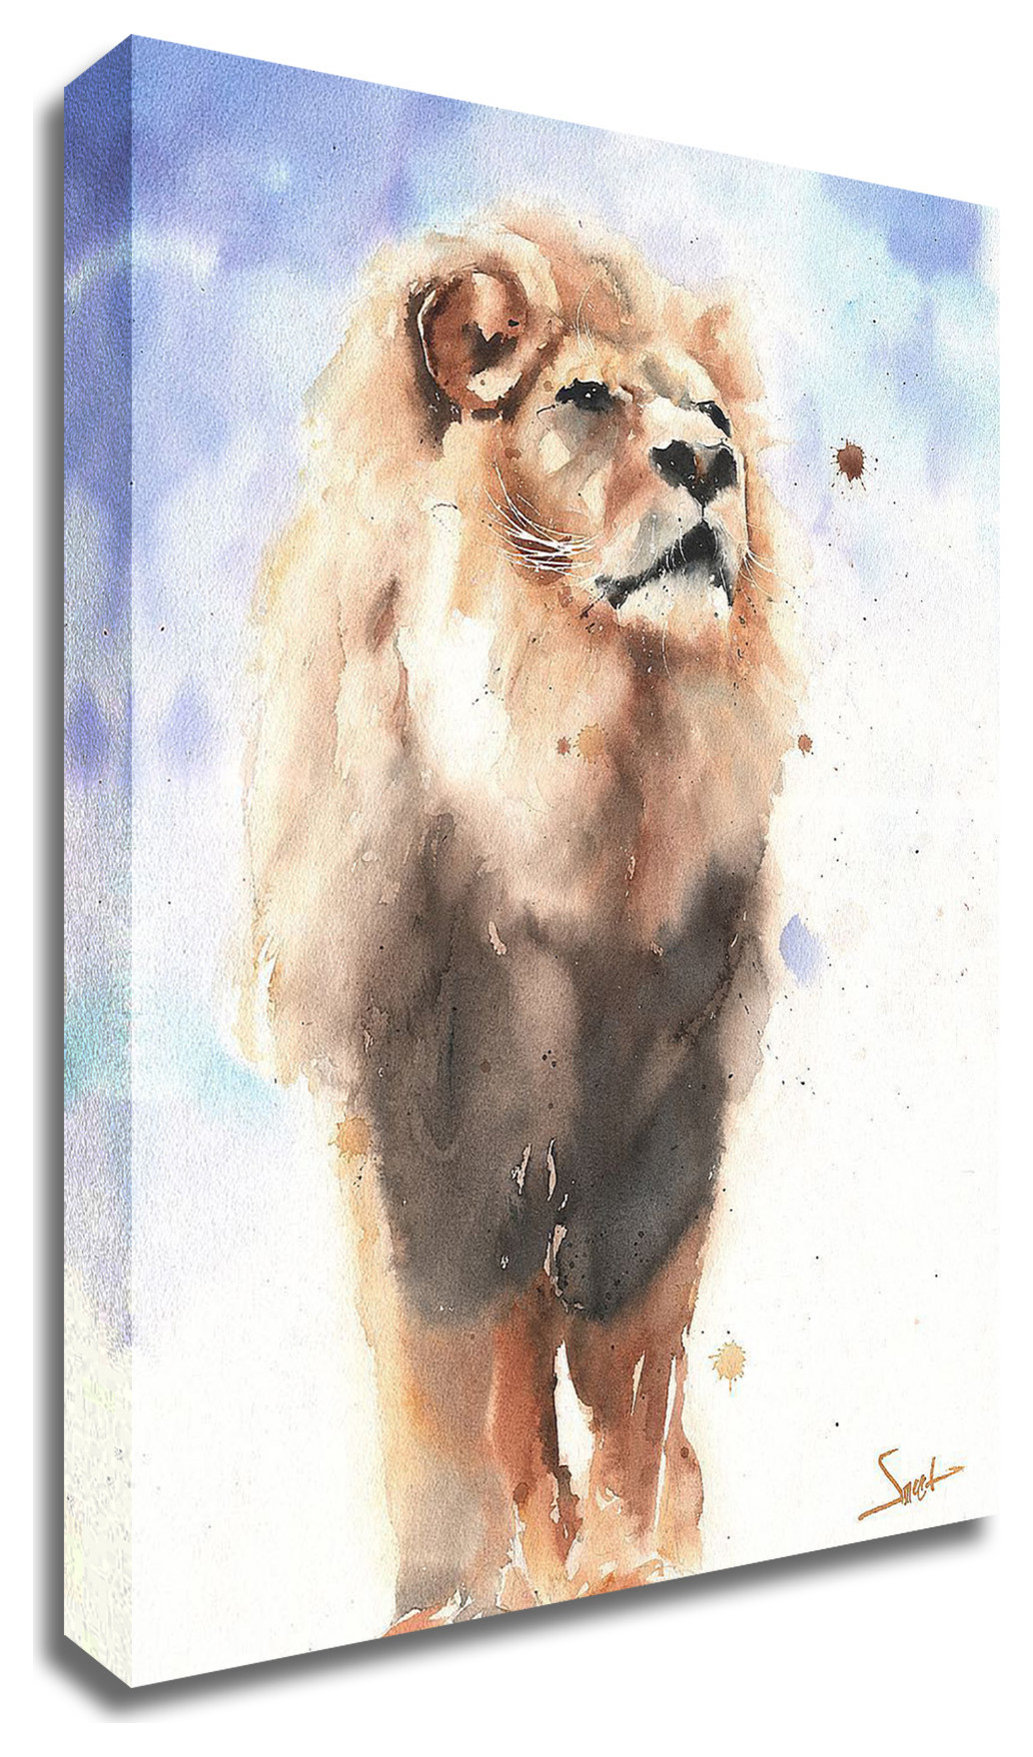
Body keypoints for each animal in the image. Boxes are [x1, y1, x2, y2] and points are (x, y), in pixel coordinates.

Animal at [239, 208, 800, 1631]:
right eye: (584, 400)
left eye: (712, 412)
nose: (710, 462)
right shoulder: (430, 1144)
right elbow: (461, 1398)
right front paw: (465, 1589)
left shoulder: (662, 1144)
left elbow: (633, 1388)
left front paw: (624, 1560)